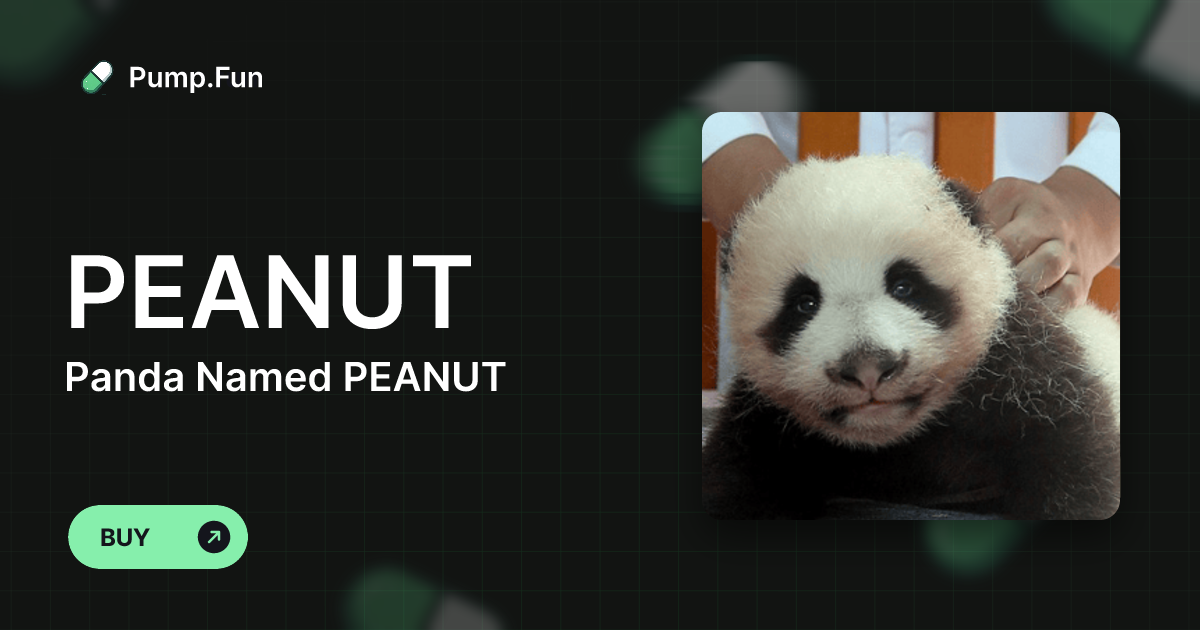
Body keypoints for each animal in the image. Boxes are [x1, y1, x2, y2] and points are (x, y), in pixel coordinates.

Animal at [702, 155, 1120, 520]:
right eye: (804, 303)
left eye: (904, 286)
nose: (867, 367)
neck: (898, 439)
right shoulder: (768, 416)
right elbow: (741, 477)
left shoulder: (1020, 364)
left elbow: (1074, 454)